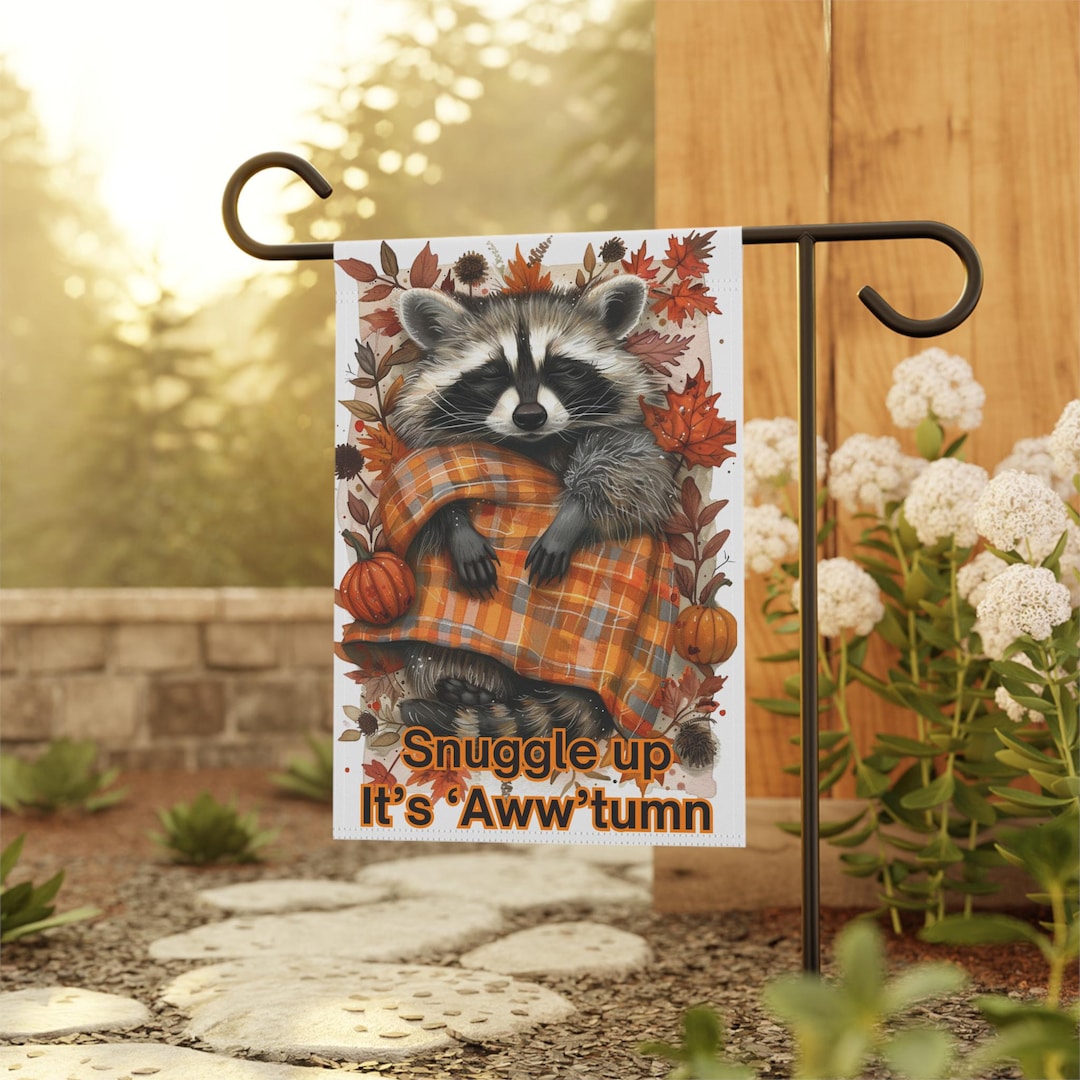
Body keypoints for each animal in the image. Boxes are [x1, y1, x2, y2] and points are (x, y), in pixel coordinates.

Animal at [391, 274, 679, 740]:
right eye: (491, 372)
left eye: (564, 368)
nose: (530, 416)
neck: (533, 444)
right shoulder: (431, 453)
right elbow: (427, 479)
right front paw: (458, 526)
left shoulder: (640, 446)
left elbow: (637, 474)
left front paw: (572, 515)